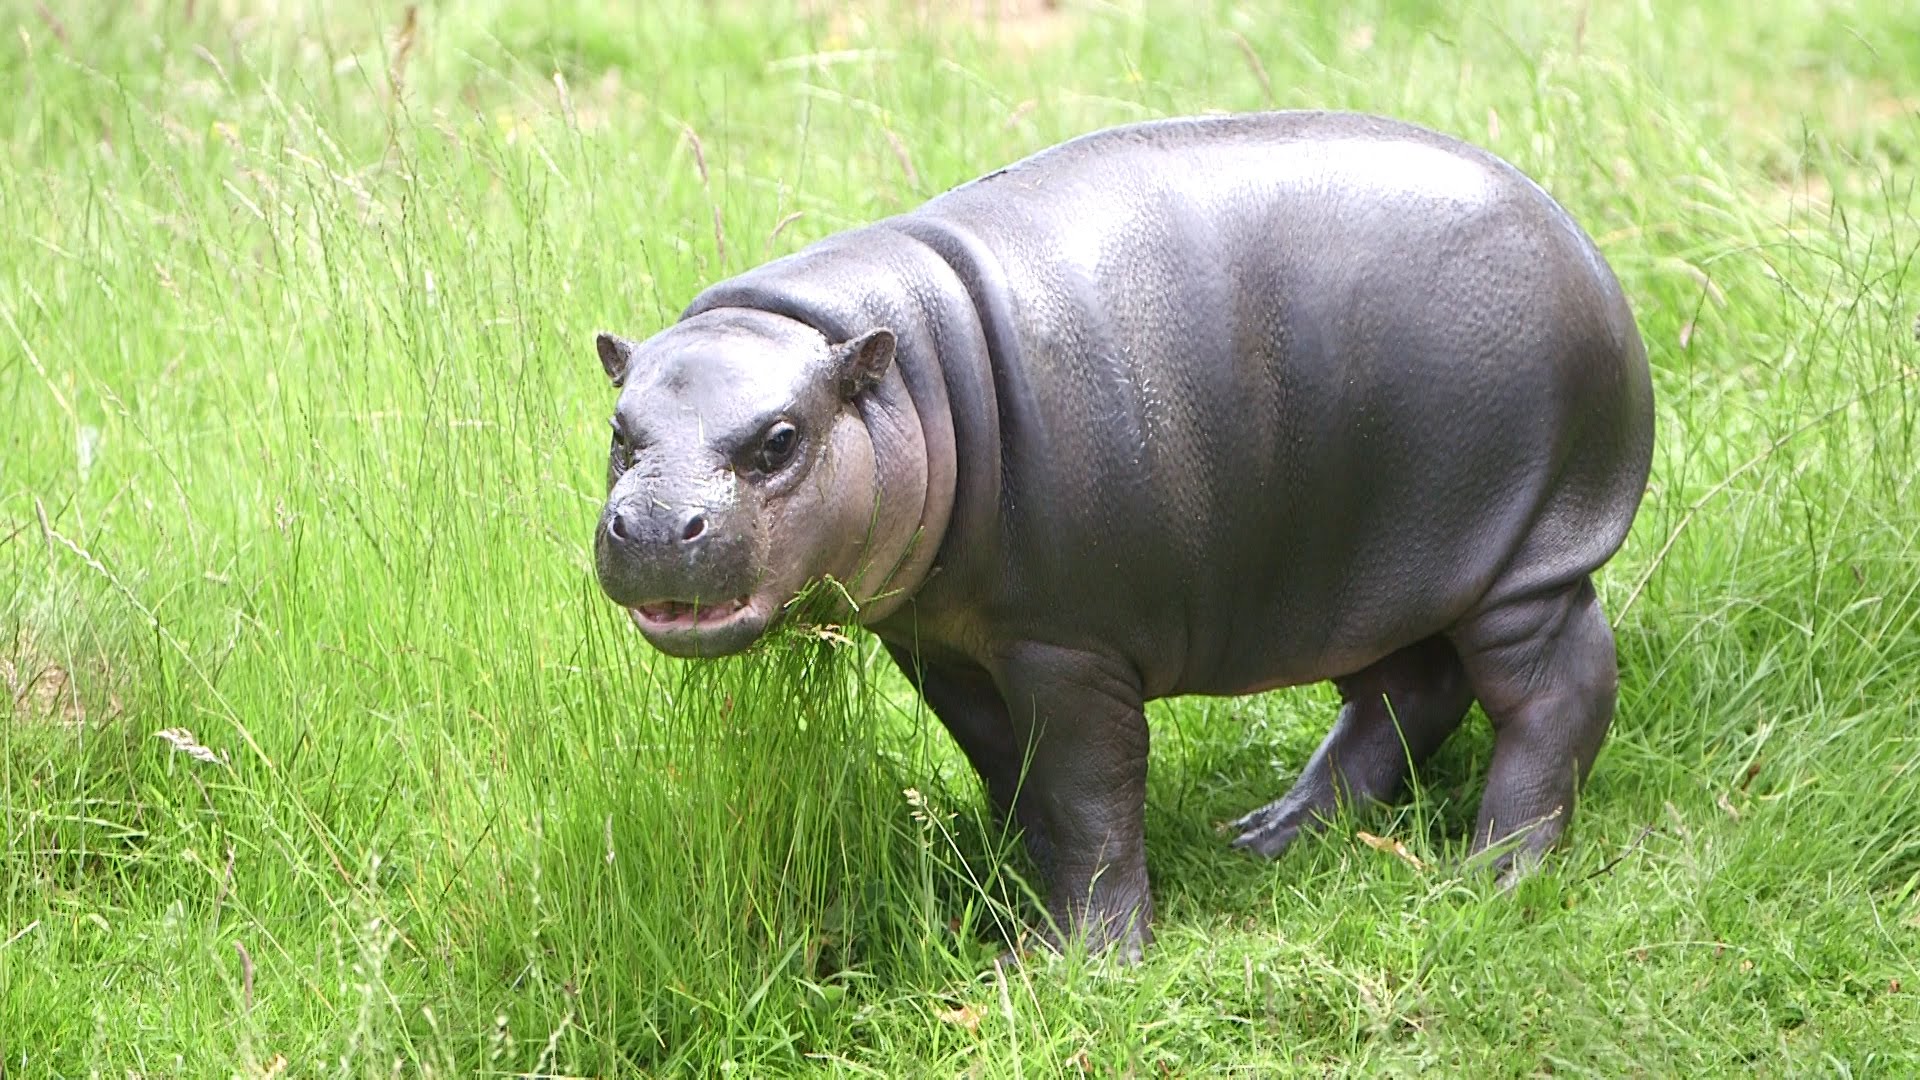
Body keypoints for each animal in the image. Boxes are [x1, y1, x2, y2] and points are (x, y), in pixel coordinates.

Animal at [592, 111, 1655, 959]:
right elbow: (1010, 771)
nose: (653, 524)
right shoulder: (941, 642)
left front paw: (1080, 959)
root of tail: (1578, 240)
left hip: (1524, 551)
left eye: (780, 439)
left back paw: (1494, 873)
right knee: (1407, 689)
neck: (909, 375)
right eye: (619, 428)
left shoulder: (1068, 647)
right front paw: (1008, 891)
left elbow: (1087, 787)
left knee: (1554, 691)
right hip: (1383, 566)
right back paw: (1269, 834)